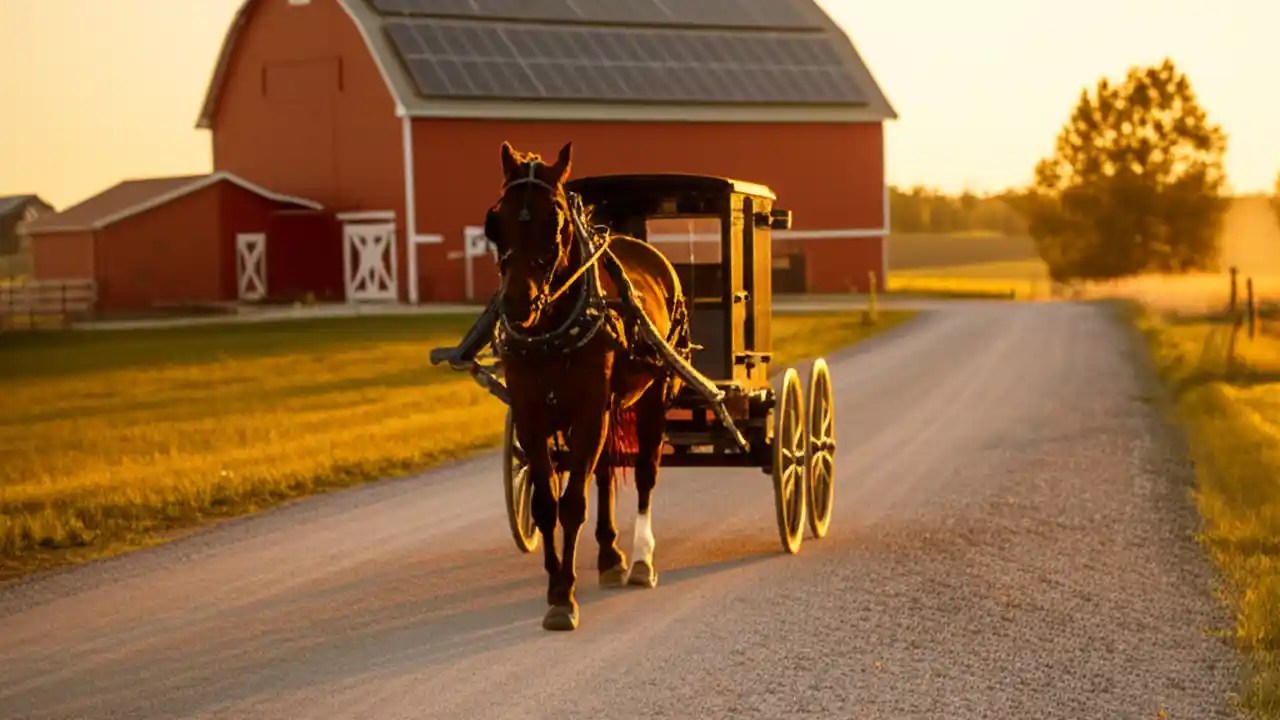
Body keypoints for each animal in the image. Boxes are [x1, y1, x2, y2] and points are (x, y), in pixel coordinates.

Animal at [484, 141, 686, 631]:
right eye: (495, 222)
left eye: (556, 222)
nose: (517, 303)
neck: (552, 327)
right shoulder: (532, 414)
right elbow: (545, 503)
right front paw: (556, 584)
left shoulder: (591, 408)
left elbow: (572, 502)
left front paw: (564, 596)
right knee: (604, 470)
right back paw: (610, 553)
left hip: (654, 394)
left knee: (646, 472)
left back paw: (640, 559)